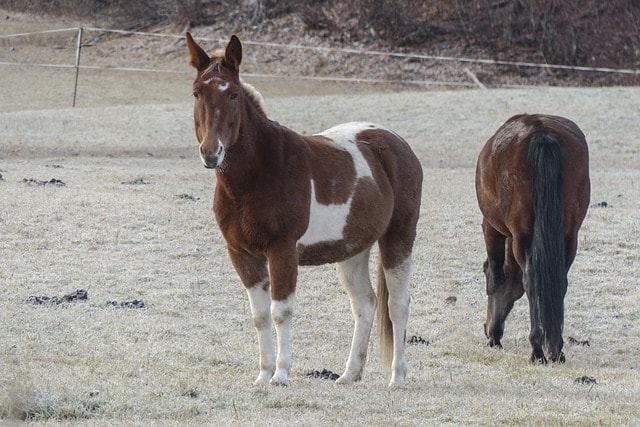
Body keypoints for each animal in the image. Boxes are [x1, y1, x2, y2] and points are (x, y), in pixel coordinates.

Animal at [185, 33, 423, 387]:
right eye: (197, 92)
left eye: (233, 94)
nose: (211, 152)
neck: (259, 172)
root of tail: (395, 143)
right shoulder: (242, 254)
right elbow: (260, 316)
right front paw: (263, 374)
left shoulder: (282, 250)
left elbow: (280, 311)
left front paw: (281, 374)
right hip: (352, 250)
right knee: (365, 304)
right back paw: (349, 374)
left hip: (399, 238)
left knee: (397, 305)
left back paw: (397, 377)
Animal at [475, 113, 590, 363]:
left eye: (482, 270)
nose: (486, 328)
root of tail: (541, 133)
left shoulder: (491, 227)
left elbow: (496, 276)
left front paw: (495, 337)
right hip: (569, 235)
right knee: (558, 281)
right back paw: (555, 348)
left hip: (520, 234)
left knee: (530, 279)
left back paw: (537, 348)